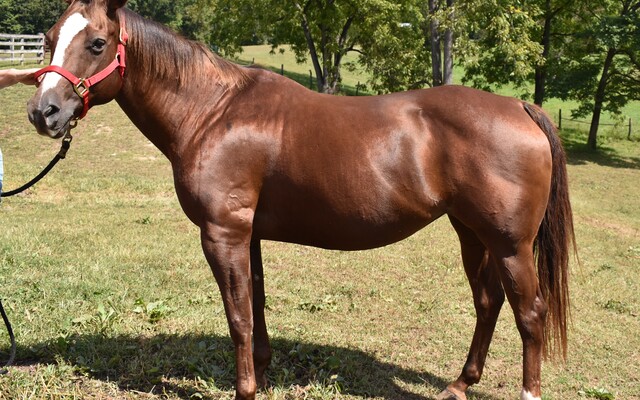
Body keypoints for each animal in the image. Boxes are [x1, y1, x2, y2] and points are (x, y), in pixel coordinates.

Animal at [27, 1, 575, 399]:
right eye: (49, 39)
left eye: (97, 43)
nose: (43, 112)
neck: (213, 111)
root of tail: (521, 106)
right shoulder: (247, 235)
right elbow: (256, 304)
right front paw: (264, 375)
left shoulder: (222, 233)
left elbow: (238, 317)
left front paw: (245, 390)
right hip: (472, 233)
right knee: (488, 303)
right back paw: (460, 384)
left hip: (509, 245)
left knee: (530, 315)